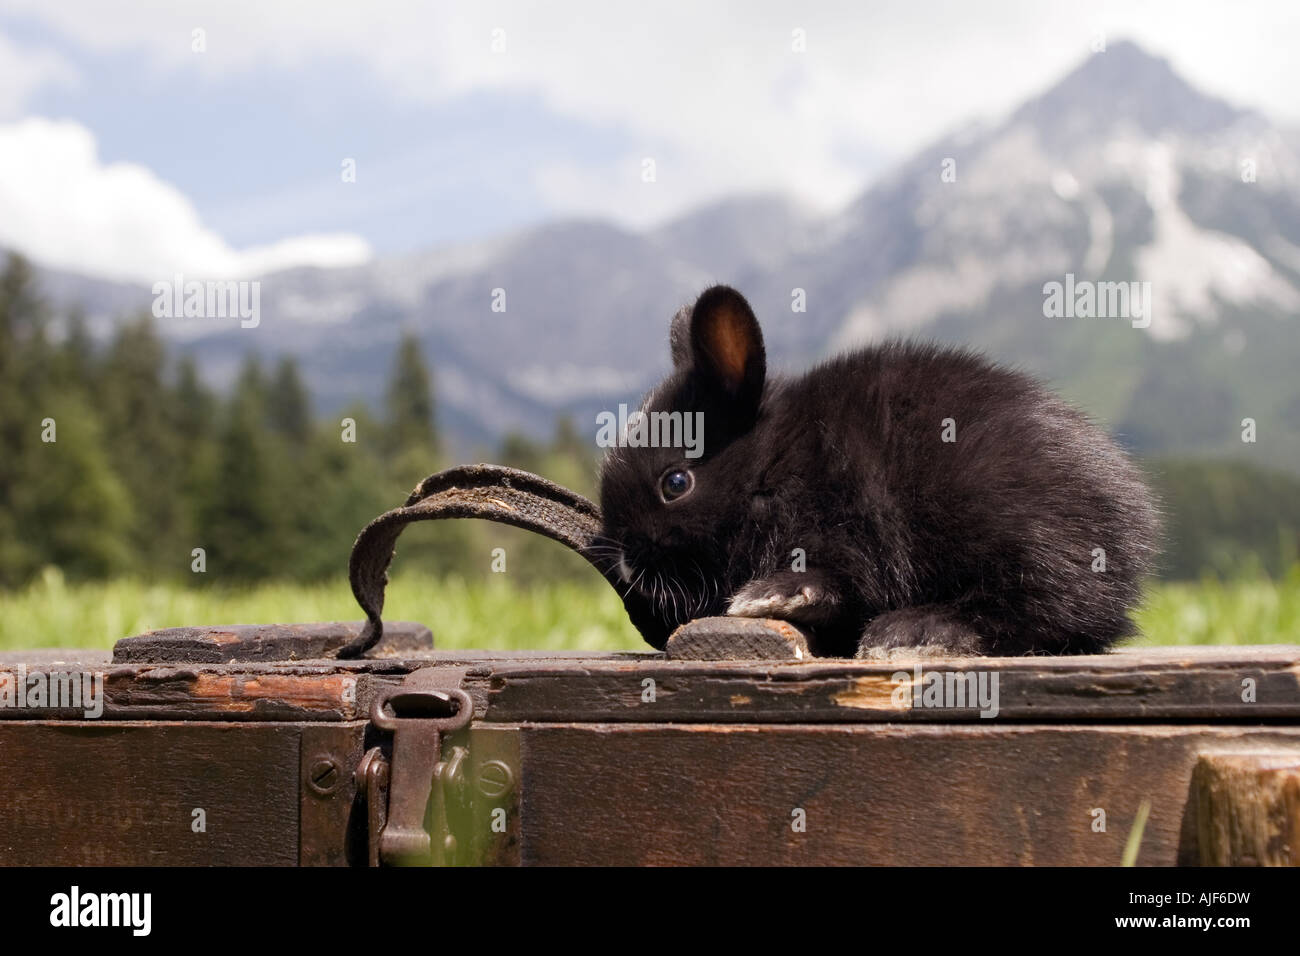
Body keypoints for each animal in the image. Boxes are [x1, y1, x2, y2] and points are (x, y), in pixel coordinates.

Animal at [597, 284, 1159, 657]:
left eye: (676, 483)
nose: (624, 562)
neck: (770, 466)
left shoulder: (844, 535)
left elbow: (830, 577)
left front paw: (771, 595)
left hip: (1013, 533)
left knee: (1037, 611)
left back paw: (915, 631)